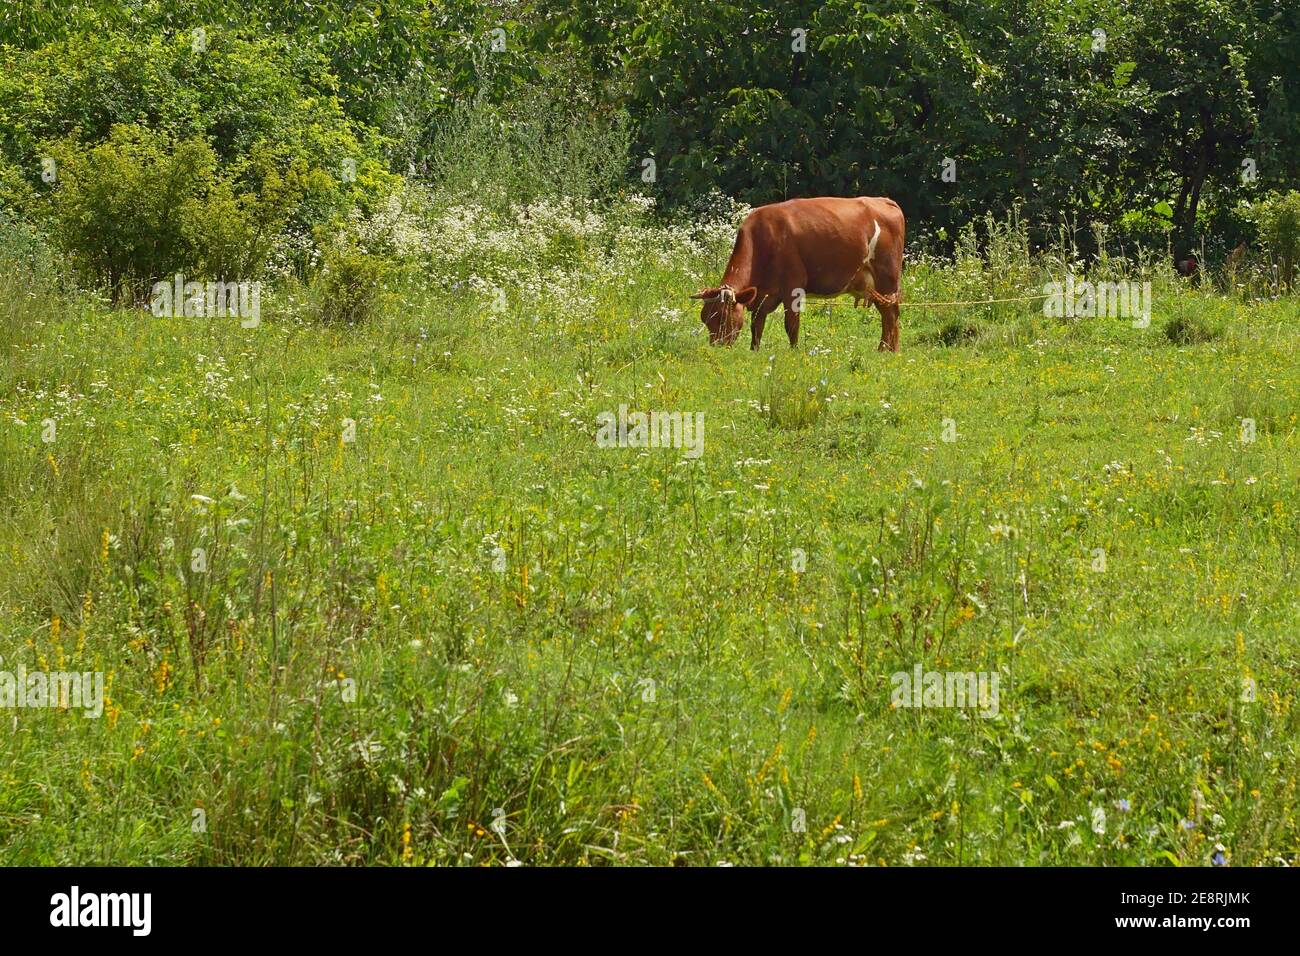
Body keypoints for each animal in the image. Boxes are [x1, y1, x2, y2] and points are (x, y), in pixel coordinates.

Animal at [690, 196, 905, 352]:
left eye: (723, 317)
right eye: (705, 318)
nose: (716, 348)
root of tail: (883, 200)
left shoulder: (793, 287)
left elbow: (791, 325)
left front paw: (794, 352)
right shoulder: (763, 296)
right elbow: (757, 325)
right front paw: (754, 350)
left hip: (887, 278)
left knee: (891, 314)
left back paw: (886, 350)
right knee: (887, 314)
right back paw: (888, 349)